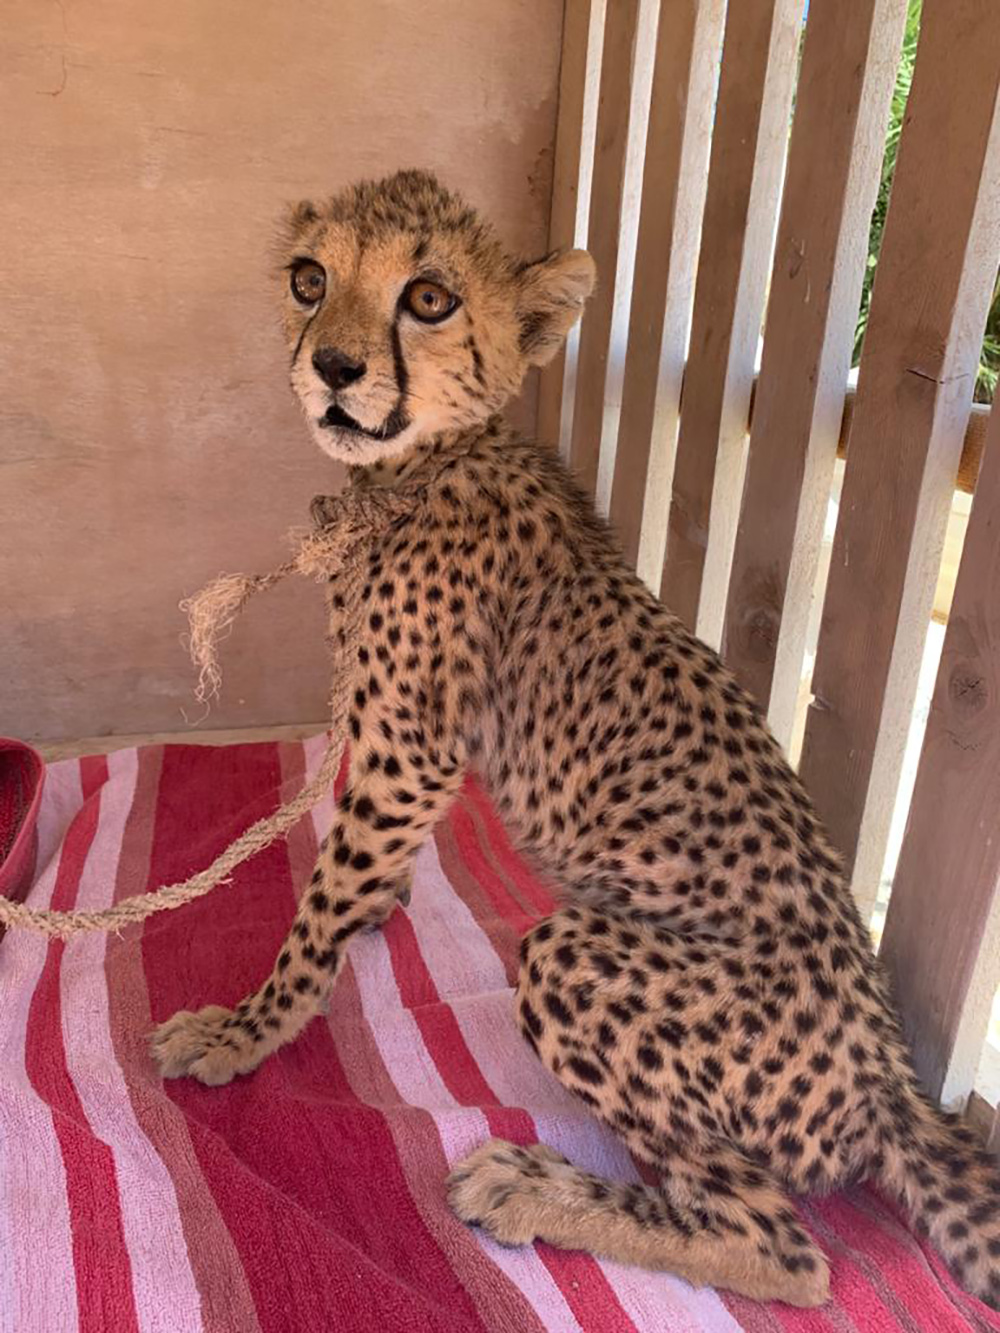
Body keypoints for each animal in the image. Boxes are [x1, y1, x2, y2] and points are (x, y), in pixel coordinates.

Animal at [152, 169, 1000, 1309]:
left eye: (428, 298)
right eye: (309, 280)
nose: (332, 364)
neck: (421, 465)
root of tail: (894, 1086)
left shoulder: (413, 744)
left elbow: (315, 908)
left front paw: (247, 1029)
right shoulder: (391, 735)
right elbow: (356, 864)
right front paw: (374, 909)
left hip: (574, 954)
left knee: (785, 1250)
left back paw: (532, 1189)